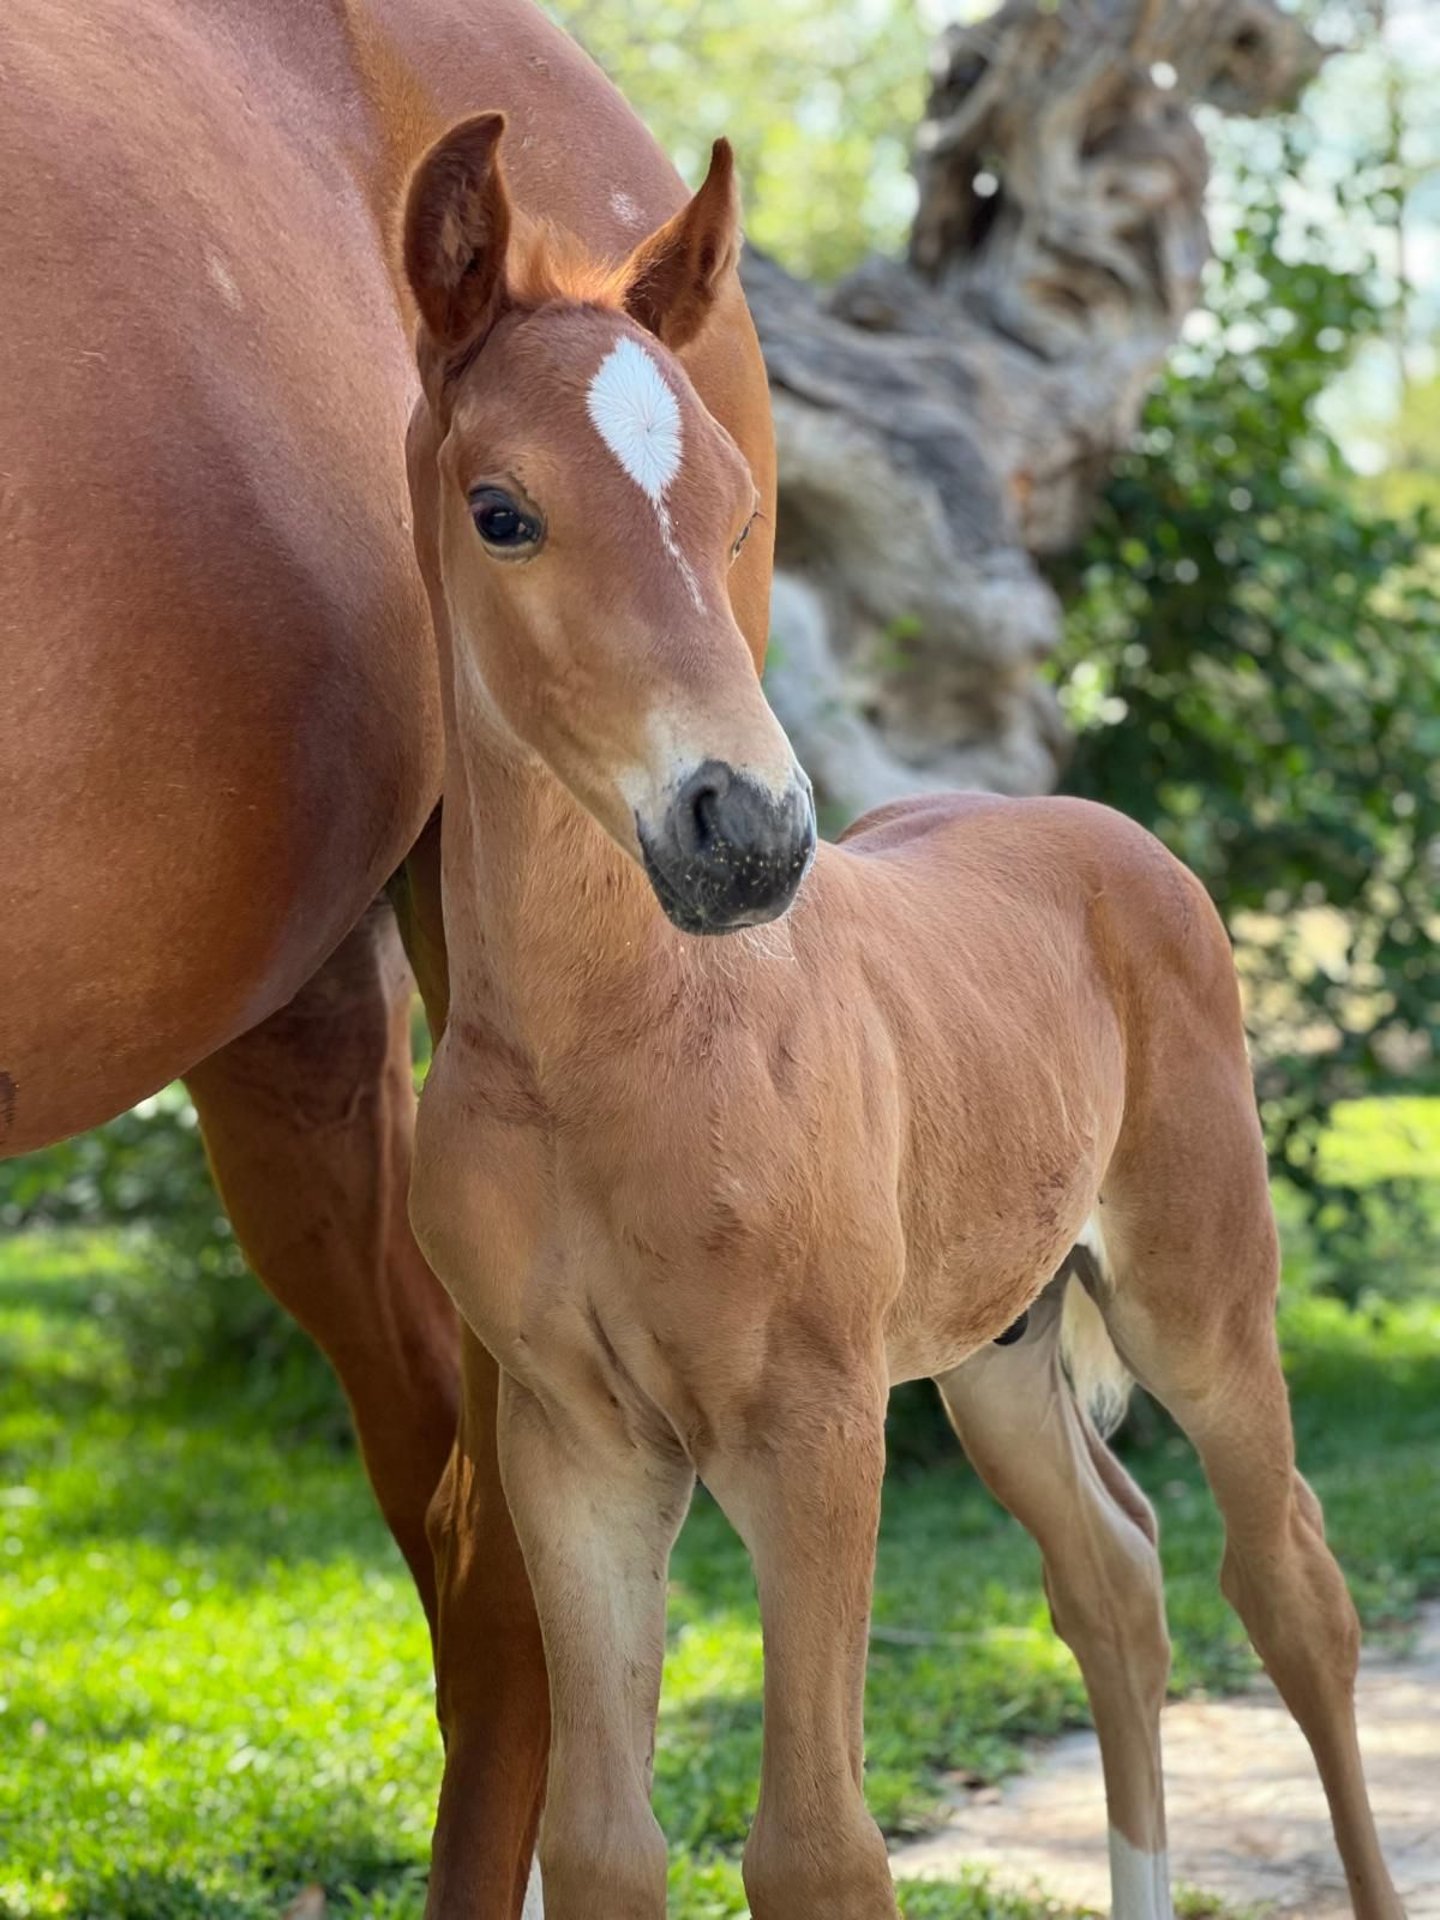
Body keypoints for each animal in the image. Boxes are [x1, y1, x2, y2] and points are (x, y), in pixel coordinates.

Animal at [400, 114, 1404, 1920]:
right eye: (502, 511)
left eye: (738, 512)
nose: (746, 832)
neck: (609, 1049)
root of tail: (1104, 831)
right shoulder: (573, 1445)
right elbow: (601, 1847)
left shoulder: (812, 1428)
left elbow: (817, 1845)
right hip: (1000, 1353)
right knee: (1118, 1578)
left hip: (1200, 1297)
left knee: (1292, 1586)